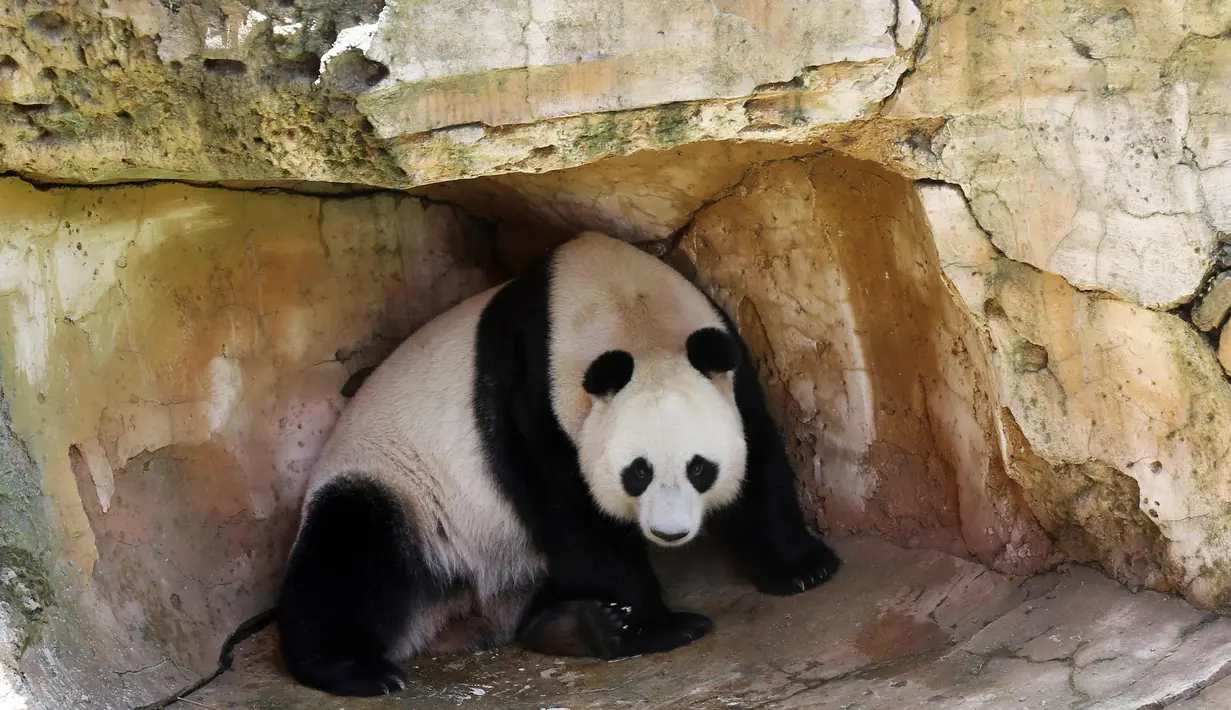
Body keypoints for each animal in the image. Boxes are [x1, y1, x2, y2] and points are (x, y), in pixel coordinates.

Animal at [277, 231, 841, 697]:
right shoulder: (530, 399)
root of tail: (461, 615)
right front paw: (656, 626)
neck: (627, 310)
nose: (670, 533)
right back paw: (356, 669)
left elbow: (760, 452)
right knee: (350, 553)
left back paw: (570, 625)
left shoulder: (726, 358)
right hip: (398, 483)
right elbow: (574, 517)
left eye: (700, 468)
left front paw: (802, 569)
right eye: (637, 472)